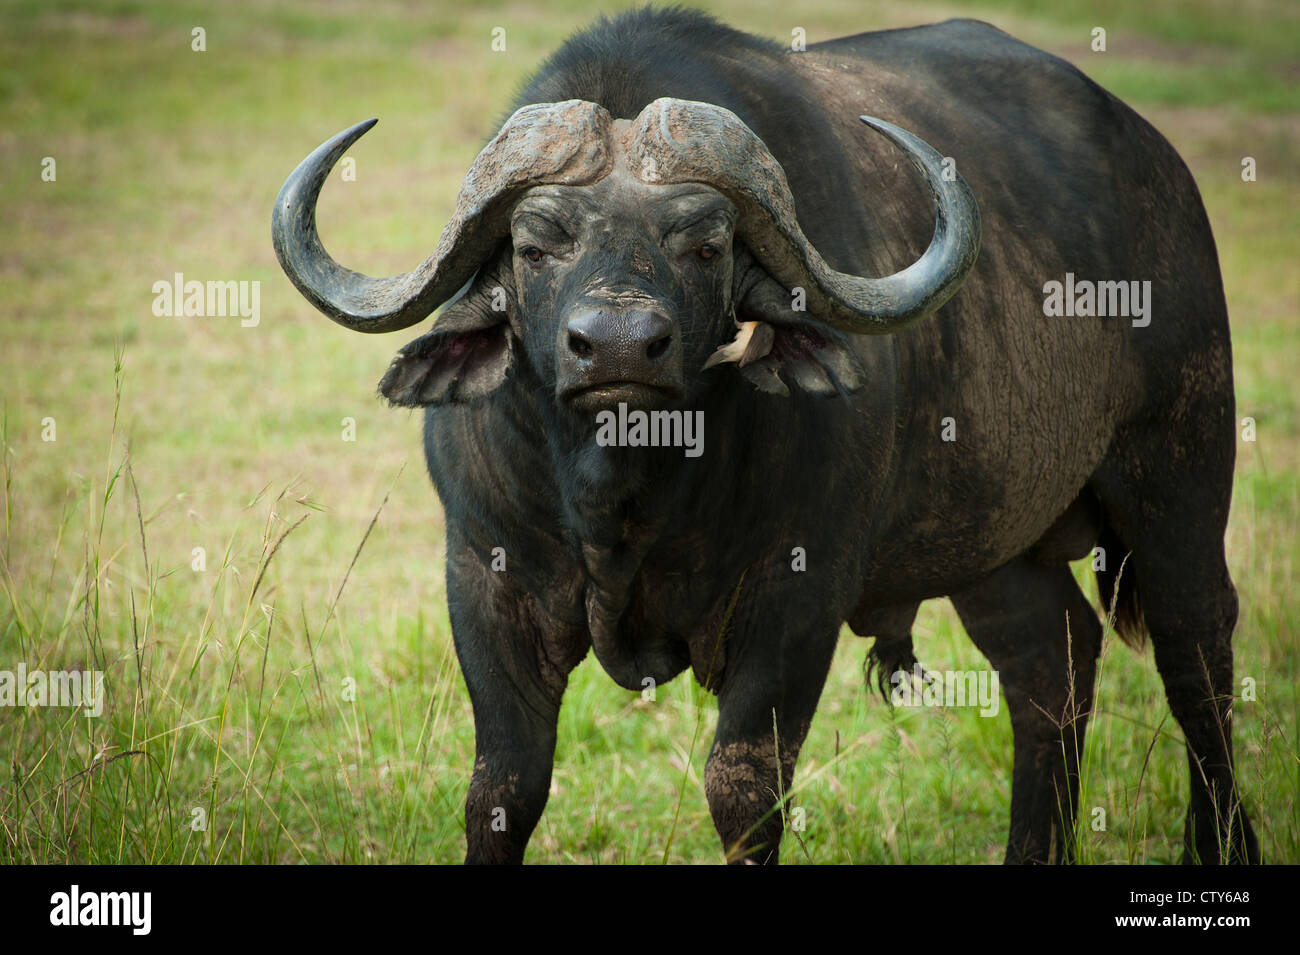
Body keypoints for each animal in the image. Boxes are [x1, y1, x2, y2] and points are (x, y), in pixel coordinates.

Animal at [272, 8, 1259, 864]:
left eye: (705, 245)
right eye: (534, 245)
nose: (618, 345)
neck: (623, 494)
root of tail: (1157, 165)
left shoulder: (796, 598)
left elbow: (743, 789)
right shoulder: (485, 580)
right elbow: (502, 789)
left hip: (1180, 476)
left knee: (1199, 664)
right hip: (994, 547)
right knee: (1050, 667)